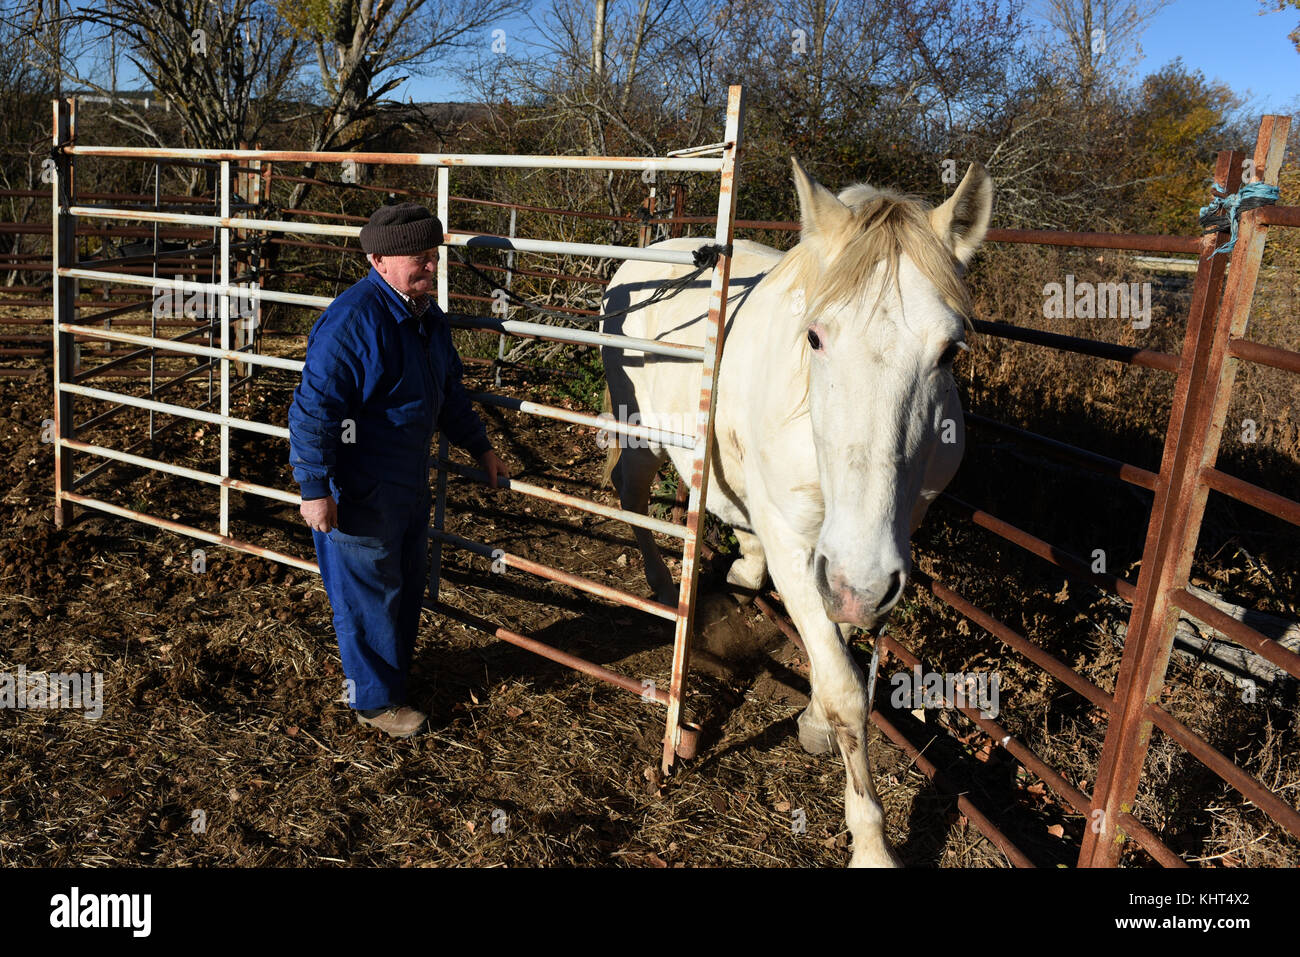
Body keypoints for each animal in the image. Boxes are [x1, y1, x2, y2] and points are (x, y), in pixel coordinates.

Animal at [599, 158, 992, 866]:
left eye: (950, 351)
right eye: (815, 336)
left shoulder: (875, 555)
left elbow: (846, 640)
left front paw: (811, 719)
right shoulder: (801, 545)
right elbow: (845, 690)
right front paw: (871, 842)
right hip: (637, 428)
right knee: (635, 495)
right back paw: (666, 589)